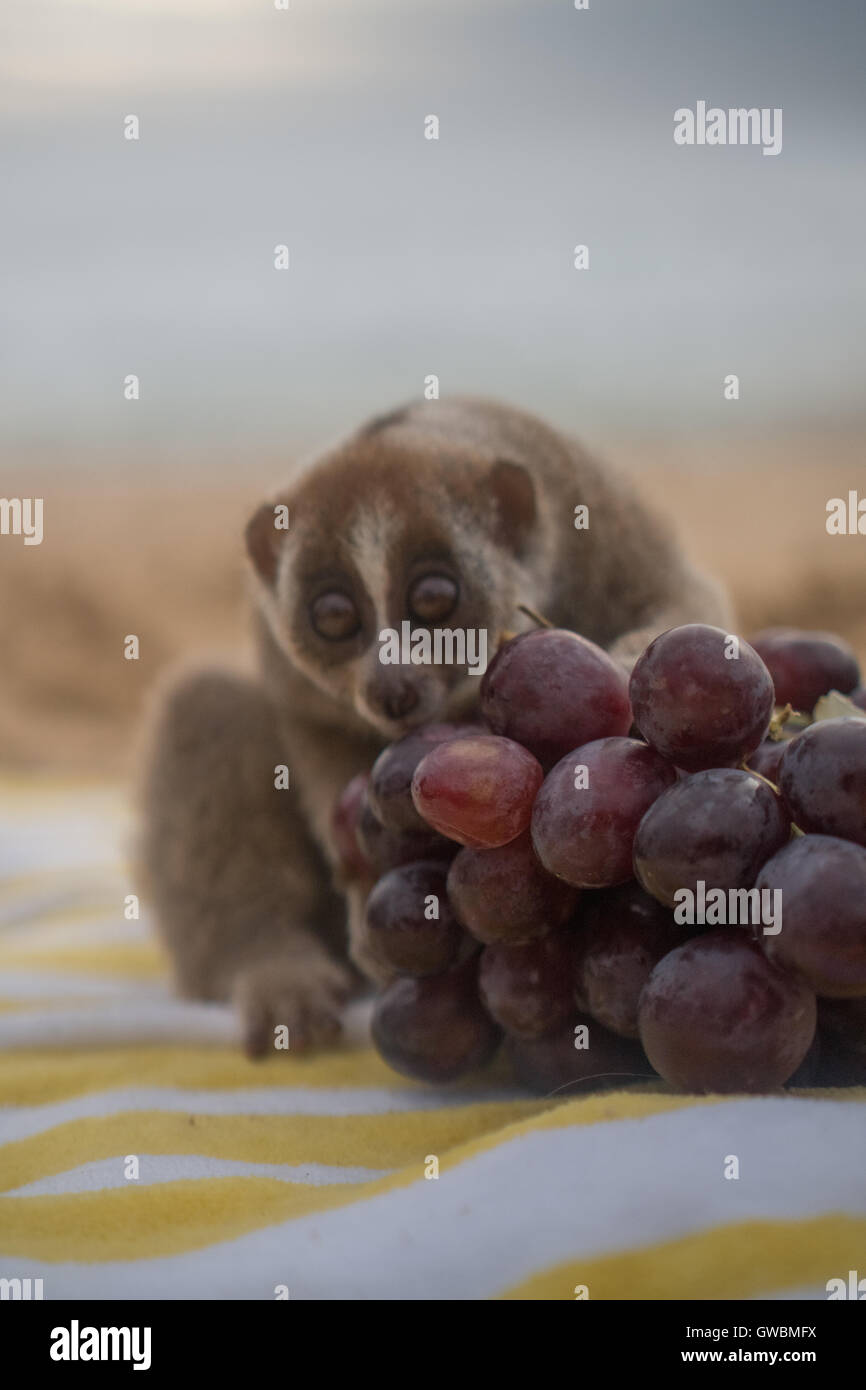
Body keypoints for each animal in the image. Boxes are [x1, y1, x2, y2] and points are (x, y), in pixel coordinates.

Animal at [137, 397, 732, 1056]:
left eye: (434, 597)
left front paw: (626, 671)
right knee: (206, 704)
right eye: (333, 616)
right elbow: (321, 752)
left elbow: (679, 597)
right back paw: (274, 971)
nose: (389, 687)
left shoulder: (603, 524)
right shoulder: (293, 679)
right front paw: (365, 908)